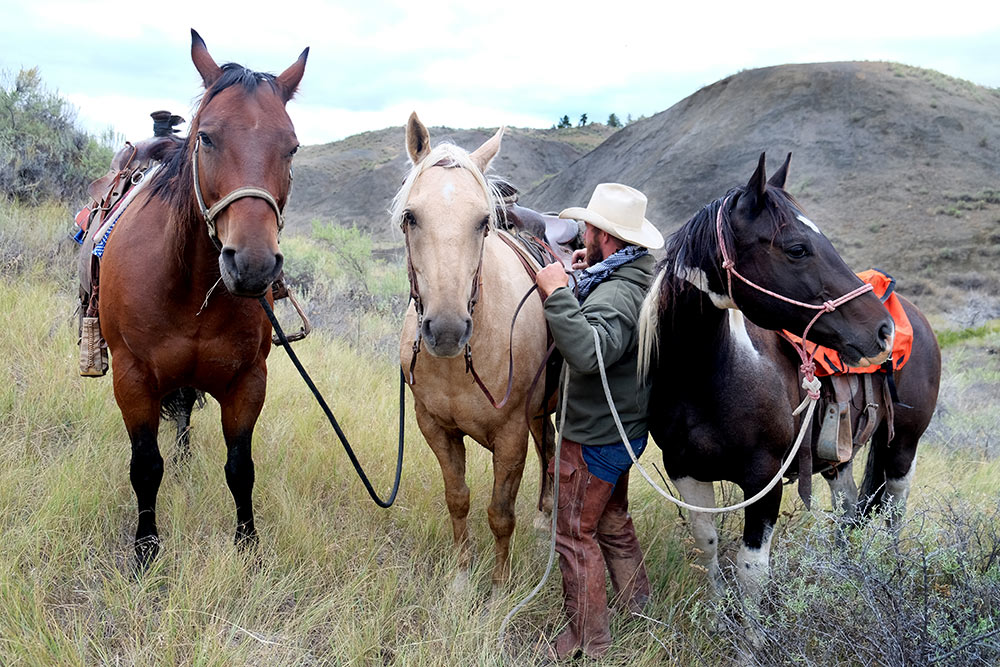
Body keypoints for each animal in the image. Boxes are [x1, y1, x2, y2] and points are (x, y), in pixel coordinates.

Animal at [94, 30, 307, 566]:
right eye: (206, 137)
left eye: (292, 147)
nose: (252, 264)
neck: (188, 284)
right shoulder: (132, 379)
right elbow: (145, 467)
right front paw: (146, 551)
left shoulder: (248, 382)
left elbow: (240, 468)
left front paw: (248, 547)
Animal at [396, 113, 555, 589]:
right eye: (411, 217)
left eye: (484, 221)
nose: (447, 330)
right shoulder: (434, 426)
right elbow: (458, 499)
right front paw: (462, 577)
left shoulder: (511, 435)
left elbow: (501, 514)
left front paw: (500, 587)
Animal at [637, 153, 941, 599]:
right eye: (797, 248)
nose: (883, 331)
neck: (706, 378)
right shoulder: (684, 470)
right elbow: (707, 544)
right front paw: (717, 608)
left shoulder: (765, 479)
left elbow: (752, 570)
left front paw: (750, 622)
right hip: (838, 456)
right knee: (848, 509)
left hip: (903, 444)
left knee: (894, 510)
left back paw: (895, 568)